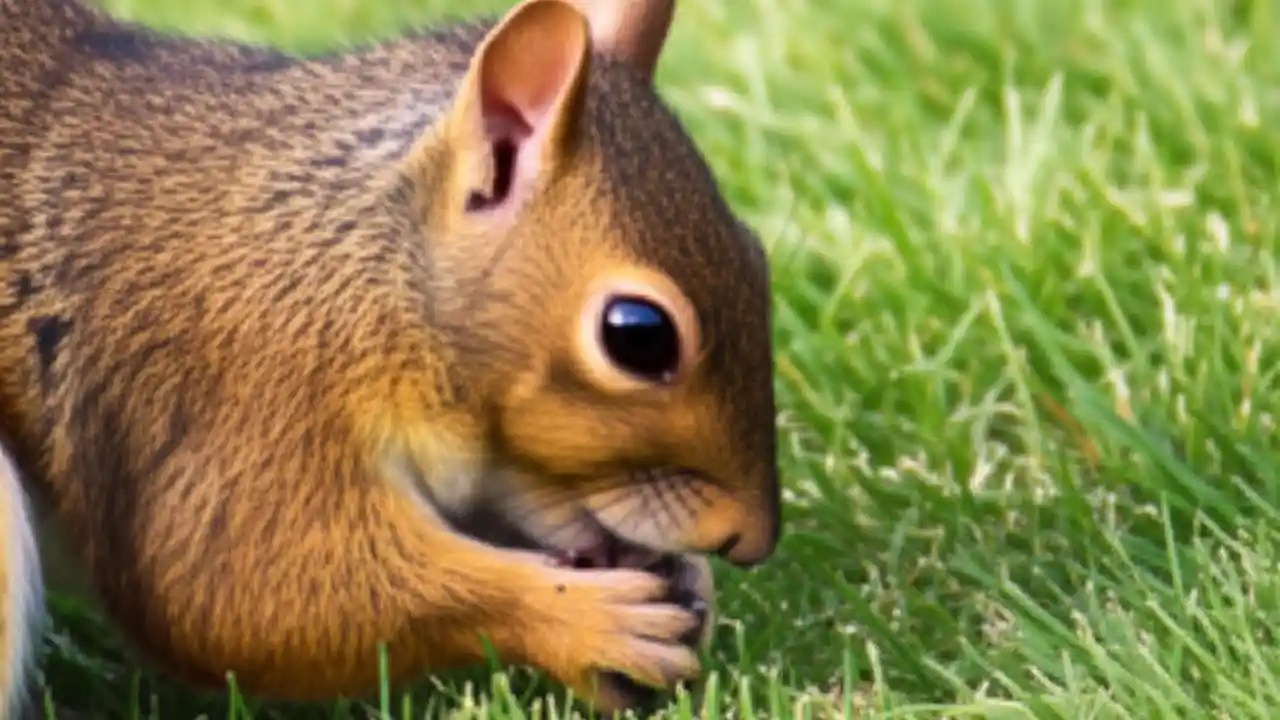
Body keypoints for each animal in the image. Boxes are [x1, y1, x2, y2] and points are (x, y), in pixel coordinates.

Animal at [0, 0, 781, 715]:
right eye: (638, 336)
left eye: (756, 254)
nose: (752, 542)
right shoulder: (245, 393)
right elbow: (234, 589)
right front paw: (585, 620)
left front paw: (688, 584)